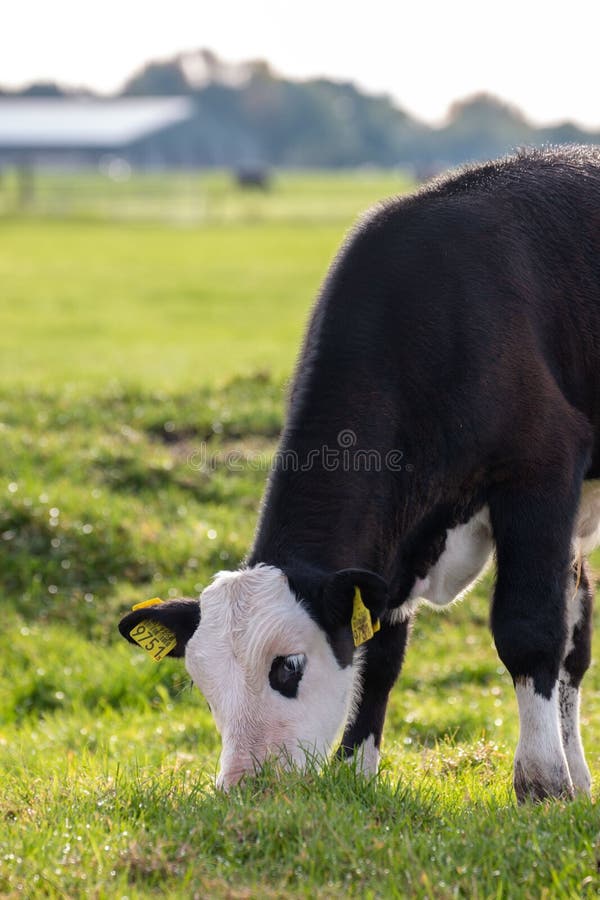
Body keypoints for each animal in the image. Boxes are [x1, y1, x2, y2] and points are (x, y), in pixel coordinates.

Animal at [120, 147, 600, 801]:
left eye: (289, 667)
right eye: (202, 684)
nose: (243, 786)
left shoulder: (540, 468)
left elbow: (528, 627)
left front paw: (543, 783)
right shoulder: (390, 552)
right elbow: (382, 653)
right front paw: (355, 772)